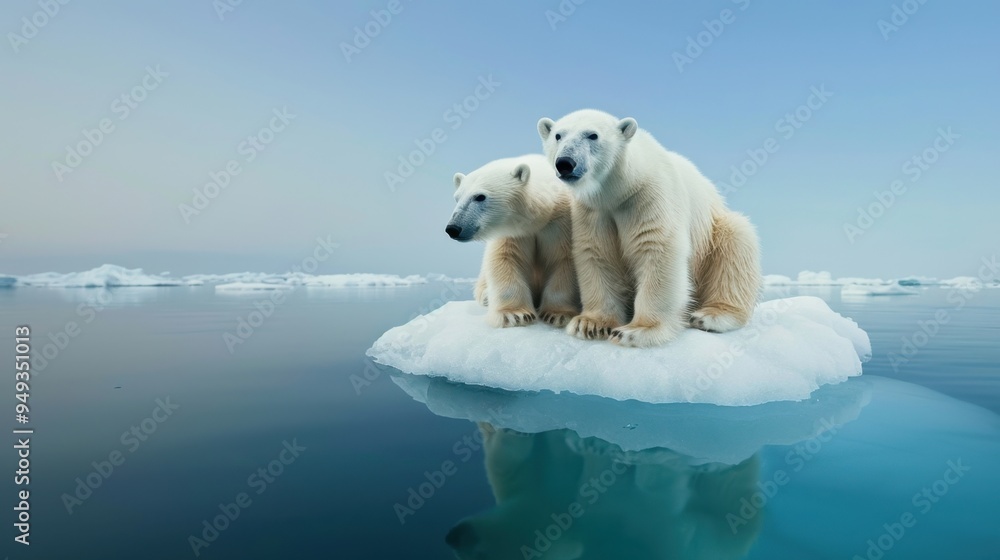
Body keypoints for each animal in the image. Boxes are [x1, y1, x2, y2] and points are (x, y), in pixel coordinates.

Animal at [446, 155, 579, 328]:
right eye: (457, 198)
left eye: (480, 196)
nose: (453, 228)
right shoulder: (513, 232)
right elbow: (507, 258)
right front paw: (514, 314)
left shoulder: (560, 222)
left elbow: (564, 259)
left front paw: (558, 315)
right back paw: (487, 296)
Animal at [536, 109, 762, 348]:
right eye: (558, 135)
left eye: (593, 135)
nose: (565, 163)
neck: (617, 192)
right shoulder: (592, 211)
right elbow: (596, 253)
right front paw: (590, 324)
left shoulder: (648, 197)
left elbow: (656, 250)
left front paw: (636, 331)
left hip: (713, 231)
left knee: (736, 245)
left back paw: (711, 316)